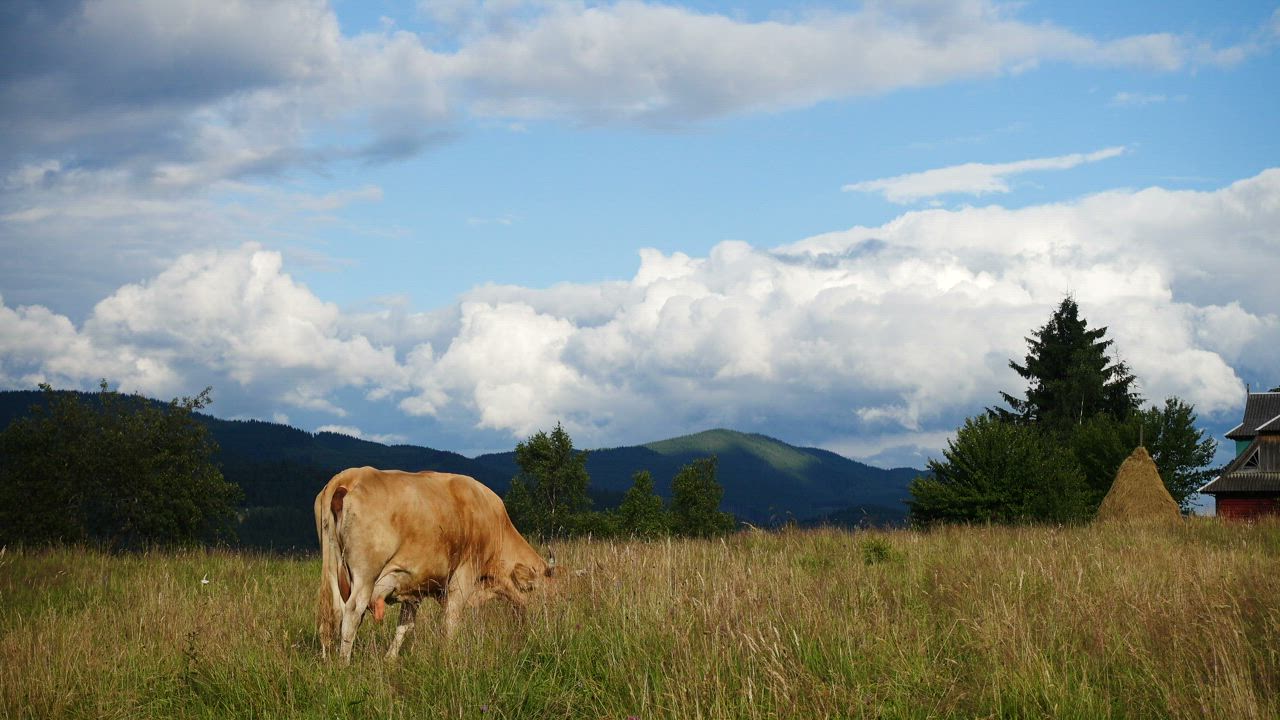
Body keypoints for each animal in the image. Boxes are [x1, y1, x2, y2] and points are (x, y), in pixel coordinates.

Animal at [315, 467, 556, 662]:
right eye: (535, 589)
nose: (542, 621)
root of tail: (349, 476)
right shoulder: (463, 577)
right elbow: (450, 621)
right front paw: (448, 655)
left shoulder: (413, 587)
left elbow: (405, 625)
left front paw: (389, 659)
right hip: (365, 574)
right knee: (352, 612)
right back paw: (344, 663)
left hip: (333, 569)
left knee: (333, 612)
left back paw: (328, 659)